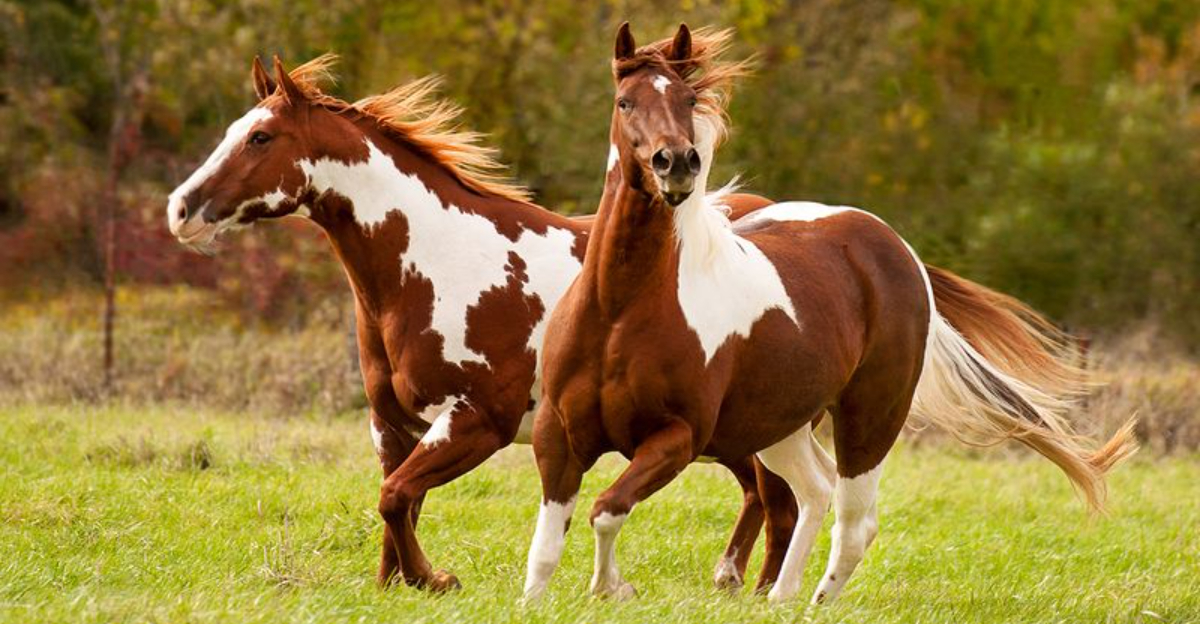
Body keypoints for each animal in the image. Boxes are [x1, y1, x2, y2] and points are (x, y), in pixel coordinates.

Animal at [165, 54, 801, 593]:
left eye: (260, 137)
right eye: (234, 130)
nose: (181, 209)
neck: (436, 262)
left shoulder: (478, 421)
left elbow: (395, 496)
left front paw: (435, 578)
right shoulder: (394, 424)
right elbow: (398, 503)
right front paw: (397, 583)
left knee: (780, 503)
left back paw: (756, 586)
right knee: (765, 499)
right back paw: (736, 580)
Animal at [523, 22, 1137, 604]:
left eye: (686, 99)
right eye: (625, 101)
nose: (676, 164)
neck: (619, 311)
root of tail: (897, 249)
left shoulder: (678, 438)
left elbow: (606, 510)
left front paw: (611, 588)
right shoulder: (558, 434)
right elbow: (549, 544)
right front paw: (547, 596)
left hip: (870, 416)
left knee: (853, 521)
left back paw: (815, 598)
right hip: (781, 424)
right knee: (814, 491)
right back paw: (780, 596)